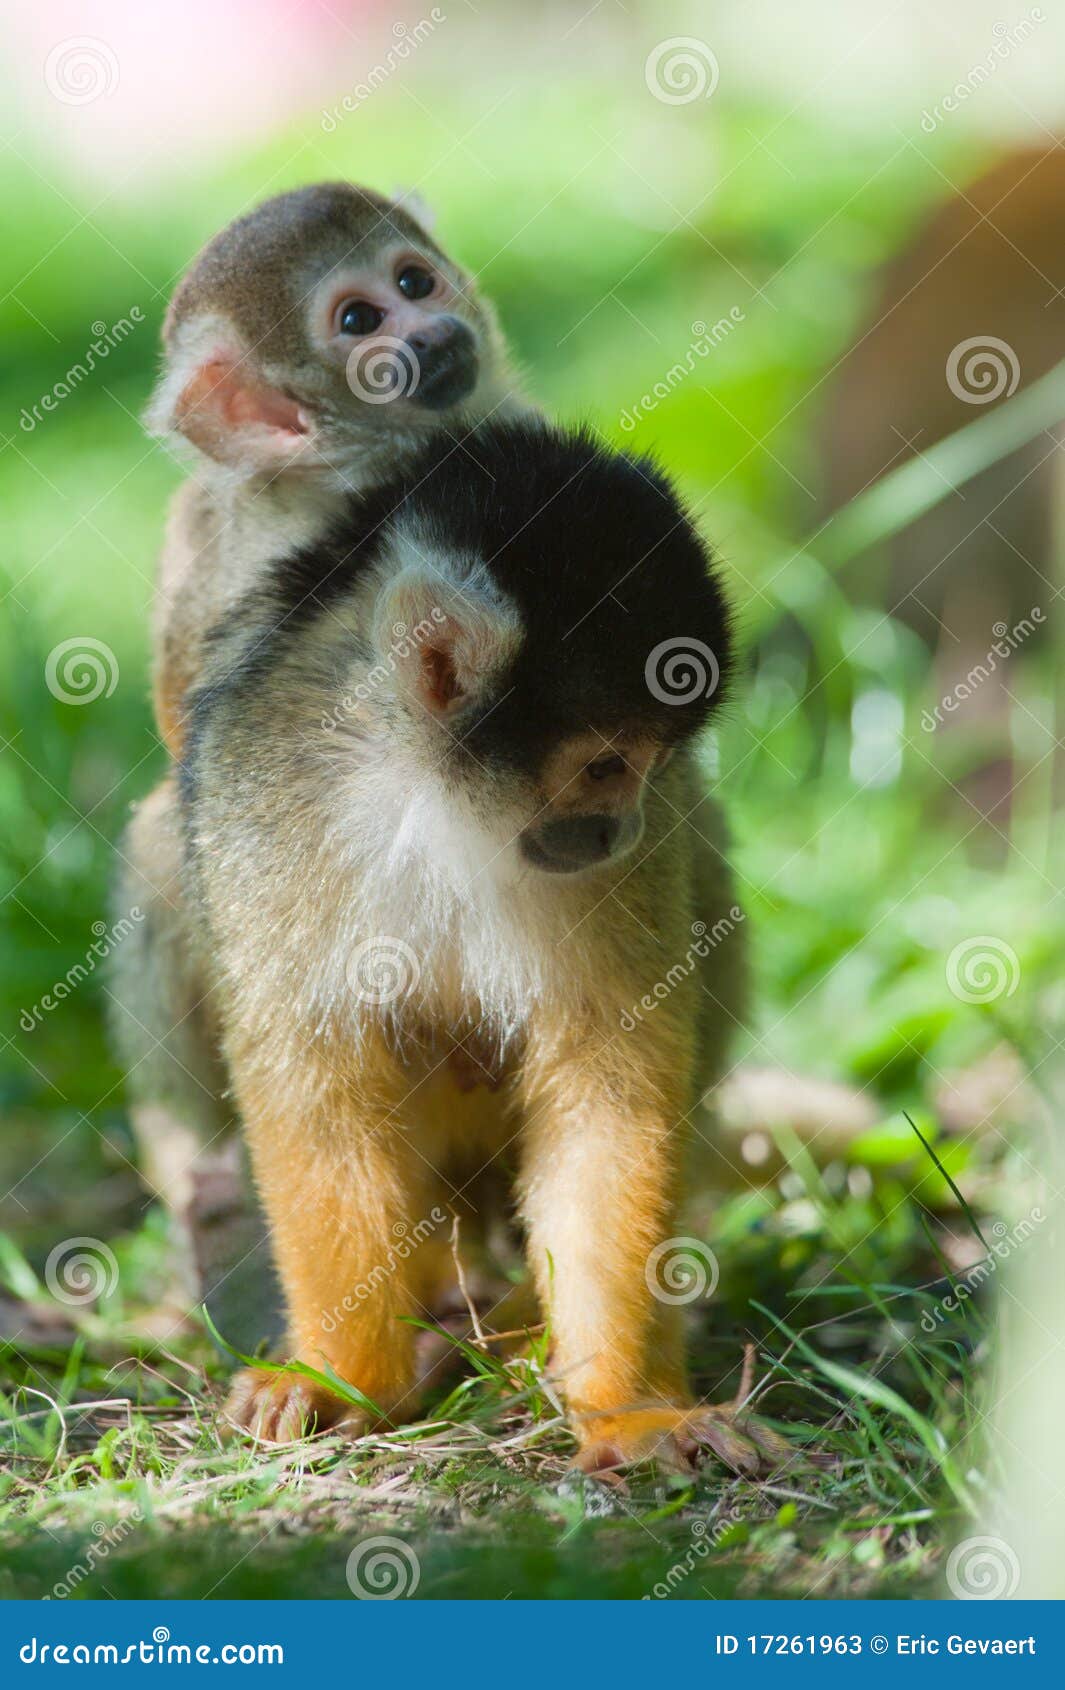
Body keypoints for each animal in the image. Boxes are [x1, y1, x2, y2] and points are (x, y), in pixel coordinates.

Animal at [119, 412, 802, 1477]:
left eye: (651, 761)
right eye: (603, 766)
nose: (619, 830)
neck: (433, 791)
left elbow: (608, 1088)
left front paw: (630, 1407)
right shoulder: (265, 793)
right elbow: (316, 1084)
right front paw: (338, 1378)